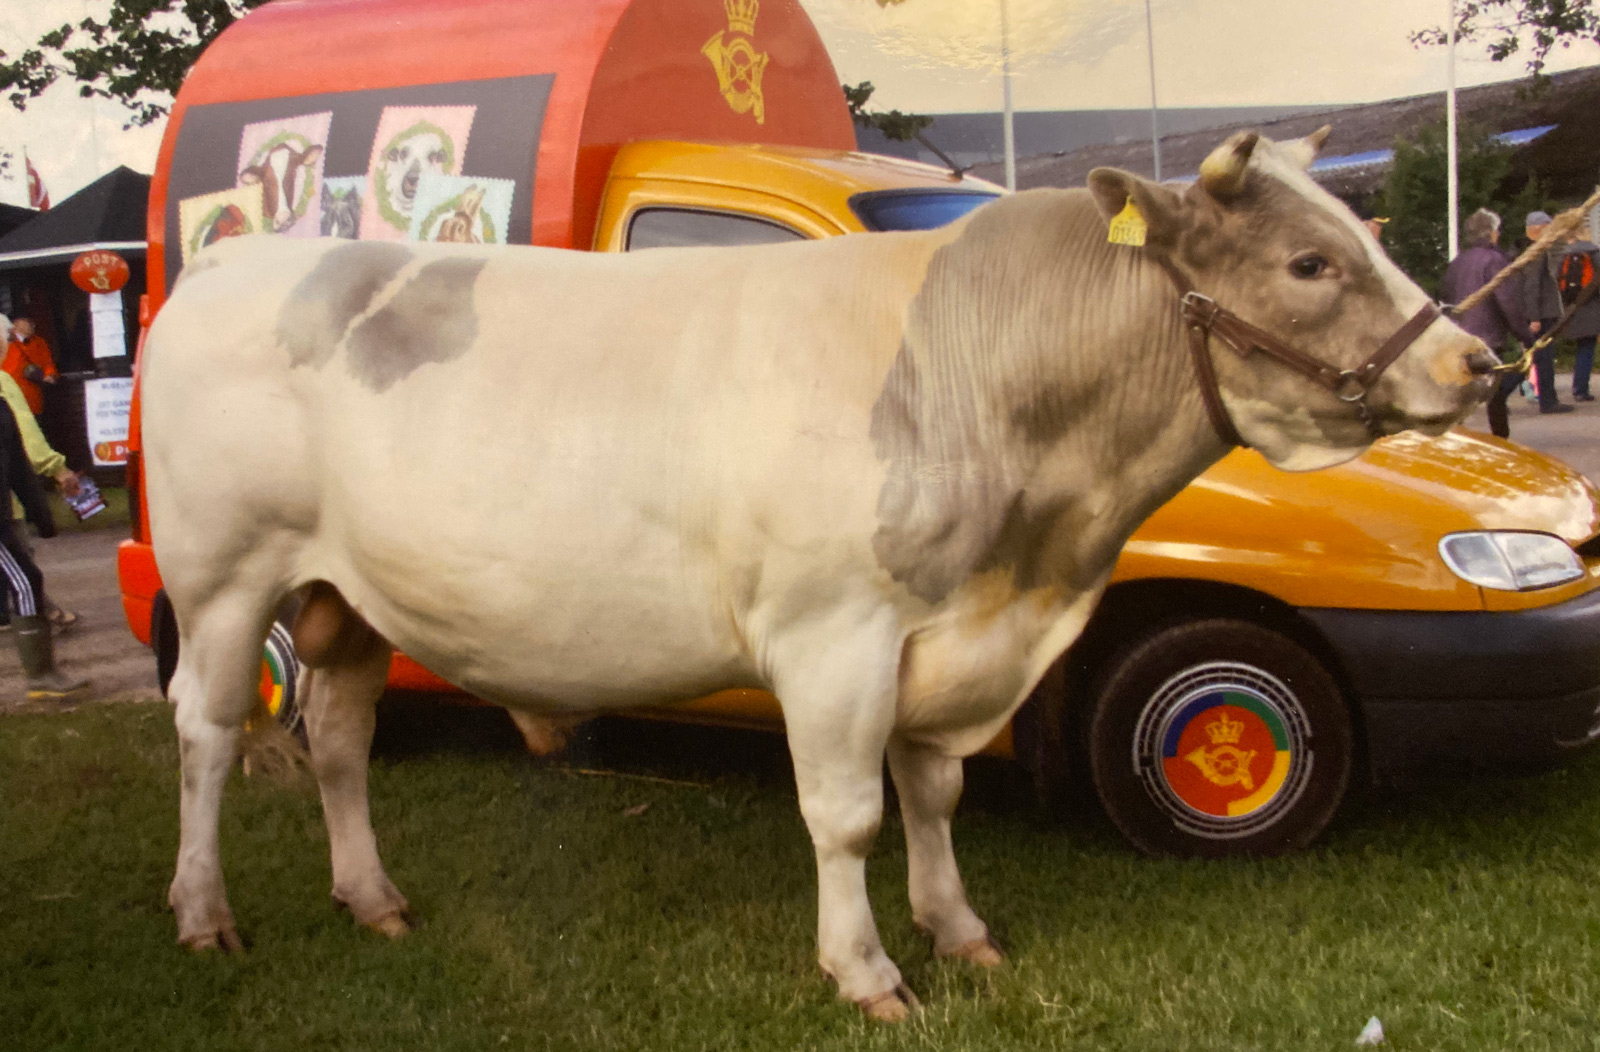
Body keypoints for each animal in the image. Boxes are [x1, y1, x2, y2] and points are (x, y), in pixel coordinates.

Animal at [145, 130, 1494, 1021]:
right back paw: (204, 912)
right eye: (1310, 263)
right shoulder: (832, 635)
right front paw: (867, 968)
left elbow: (934, 792)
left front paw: (959, 929)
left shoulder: (947, 633)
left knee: (336, 735)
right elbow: (846, 814)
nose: (1477, 365)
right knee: (207, 733)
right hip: (224, 576)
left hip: (350, 595)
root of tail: (232, 262)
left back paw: (371, 895)